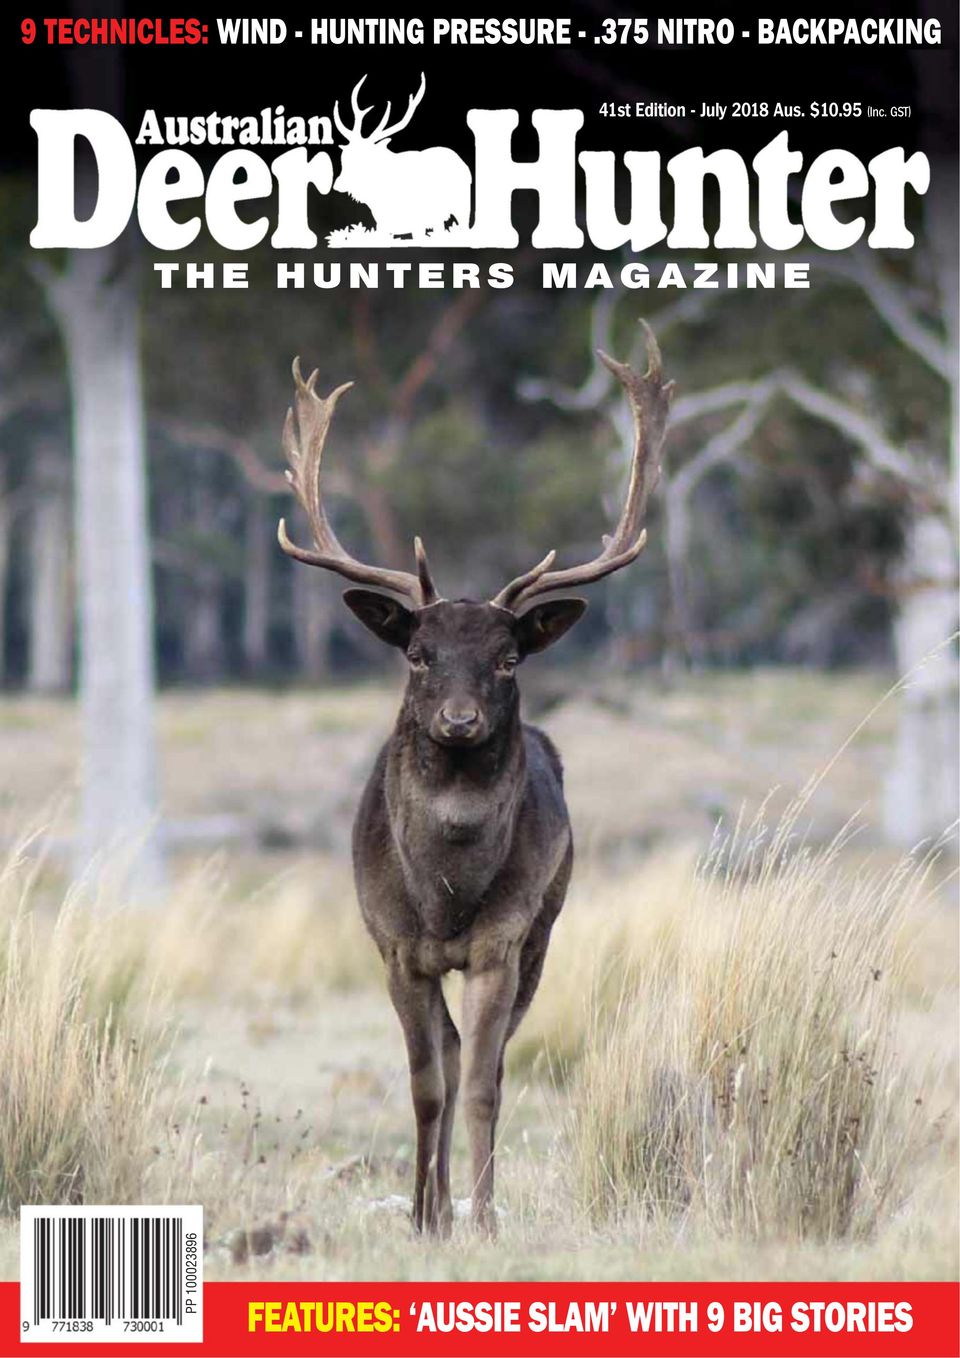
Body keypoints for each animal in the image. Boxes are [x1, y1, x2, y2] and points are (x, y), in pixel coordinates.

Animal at [277, 324, 673, 1235]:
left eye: (508, 657)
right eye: (419, 654)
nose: (459, 721)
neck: (447, 891)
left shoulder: (502, 941)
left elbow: (491, 1083)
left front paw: (485, 1219)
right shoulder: (396, 946)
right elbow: (429, 1085)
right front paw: (426, 1217)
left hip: (546, 928)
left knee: (482, 1056)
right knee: (450, 1056)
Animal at [332, 74, 472, 239]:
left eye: (364, 160)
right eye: (344, 158)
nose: (337, 184)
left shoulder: (418, 223)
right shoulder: (383, 226)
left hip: (462, 207)